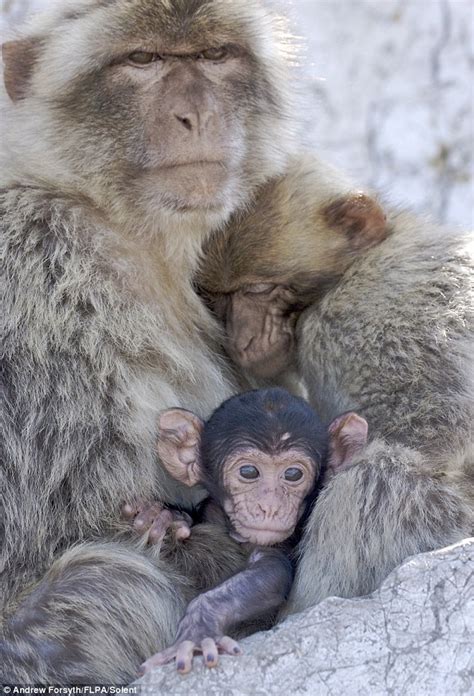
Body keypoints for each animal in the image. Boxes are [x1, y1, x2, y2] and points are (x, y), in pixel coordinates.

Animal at [140, 388, 368, 674]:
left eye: (293, 474)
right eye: (248, 471)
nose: (269, 506)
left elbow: (270, 572)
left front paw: (200, 625)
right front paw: (163, 517)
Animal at [197, 153, 474, 612]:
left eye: (260, 289)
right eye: (219, 298)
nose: (242, 337)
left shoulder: (345, 321)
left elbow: (438, 429)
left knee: (372, 479)